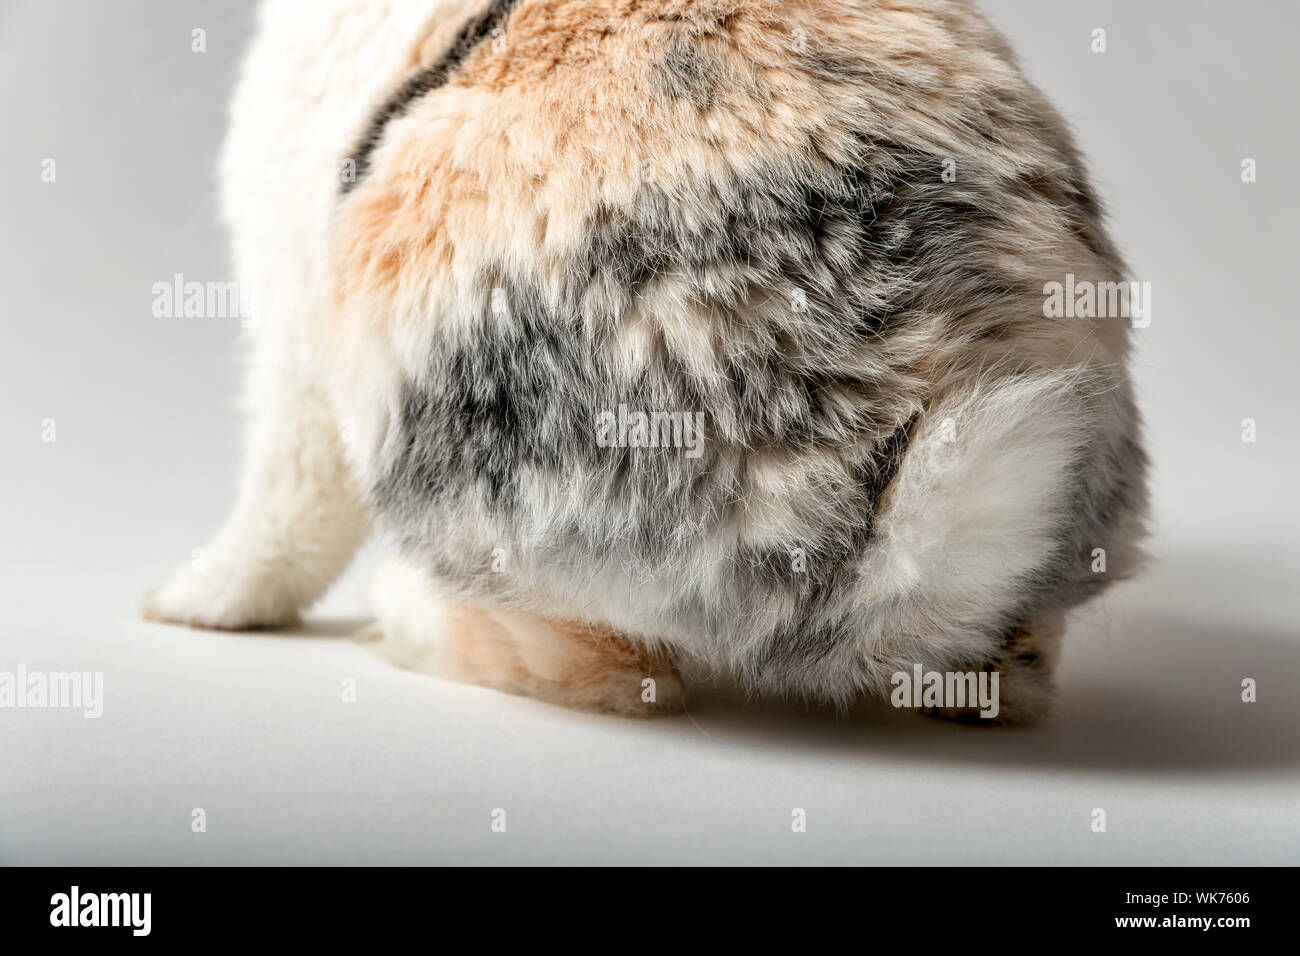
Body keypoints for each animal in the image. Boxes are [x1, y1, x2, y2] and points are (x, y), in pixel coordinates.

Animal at [144, 0, 1147, 724]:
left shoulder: (295, 338)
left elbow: (282, 508)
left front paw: (189, 604)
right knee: (1005, 680)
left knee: (613, 671)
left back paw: (400, 618)